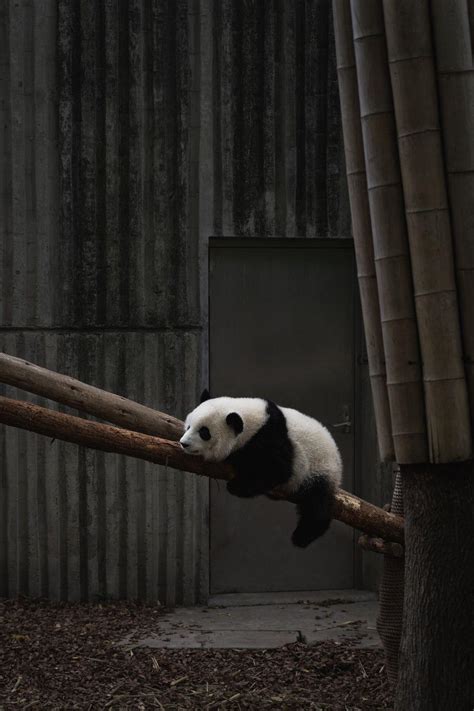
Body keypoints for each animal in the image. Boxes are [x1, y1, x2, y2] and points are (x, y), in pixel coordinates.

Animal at [179, 390, 342, 548]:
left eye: (204, 432)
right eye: (189, 426)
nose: (183, 443)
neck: (254, 422)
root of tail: (337, 458)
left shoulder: (271, 437)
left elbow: (278, 470)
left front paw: (236, 484)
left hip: (319, 468)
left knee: (316, 503)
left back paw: (303, 536)